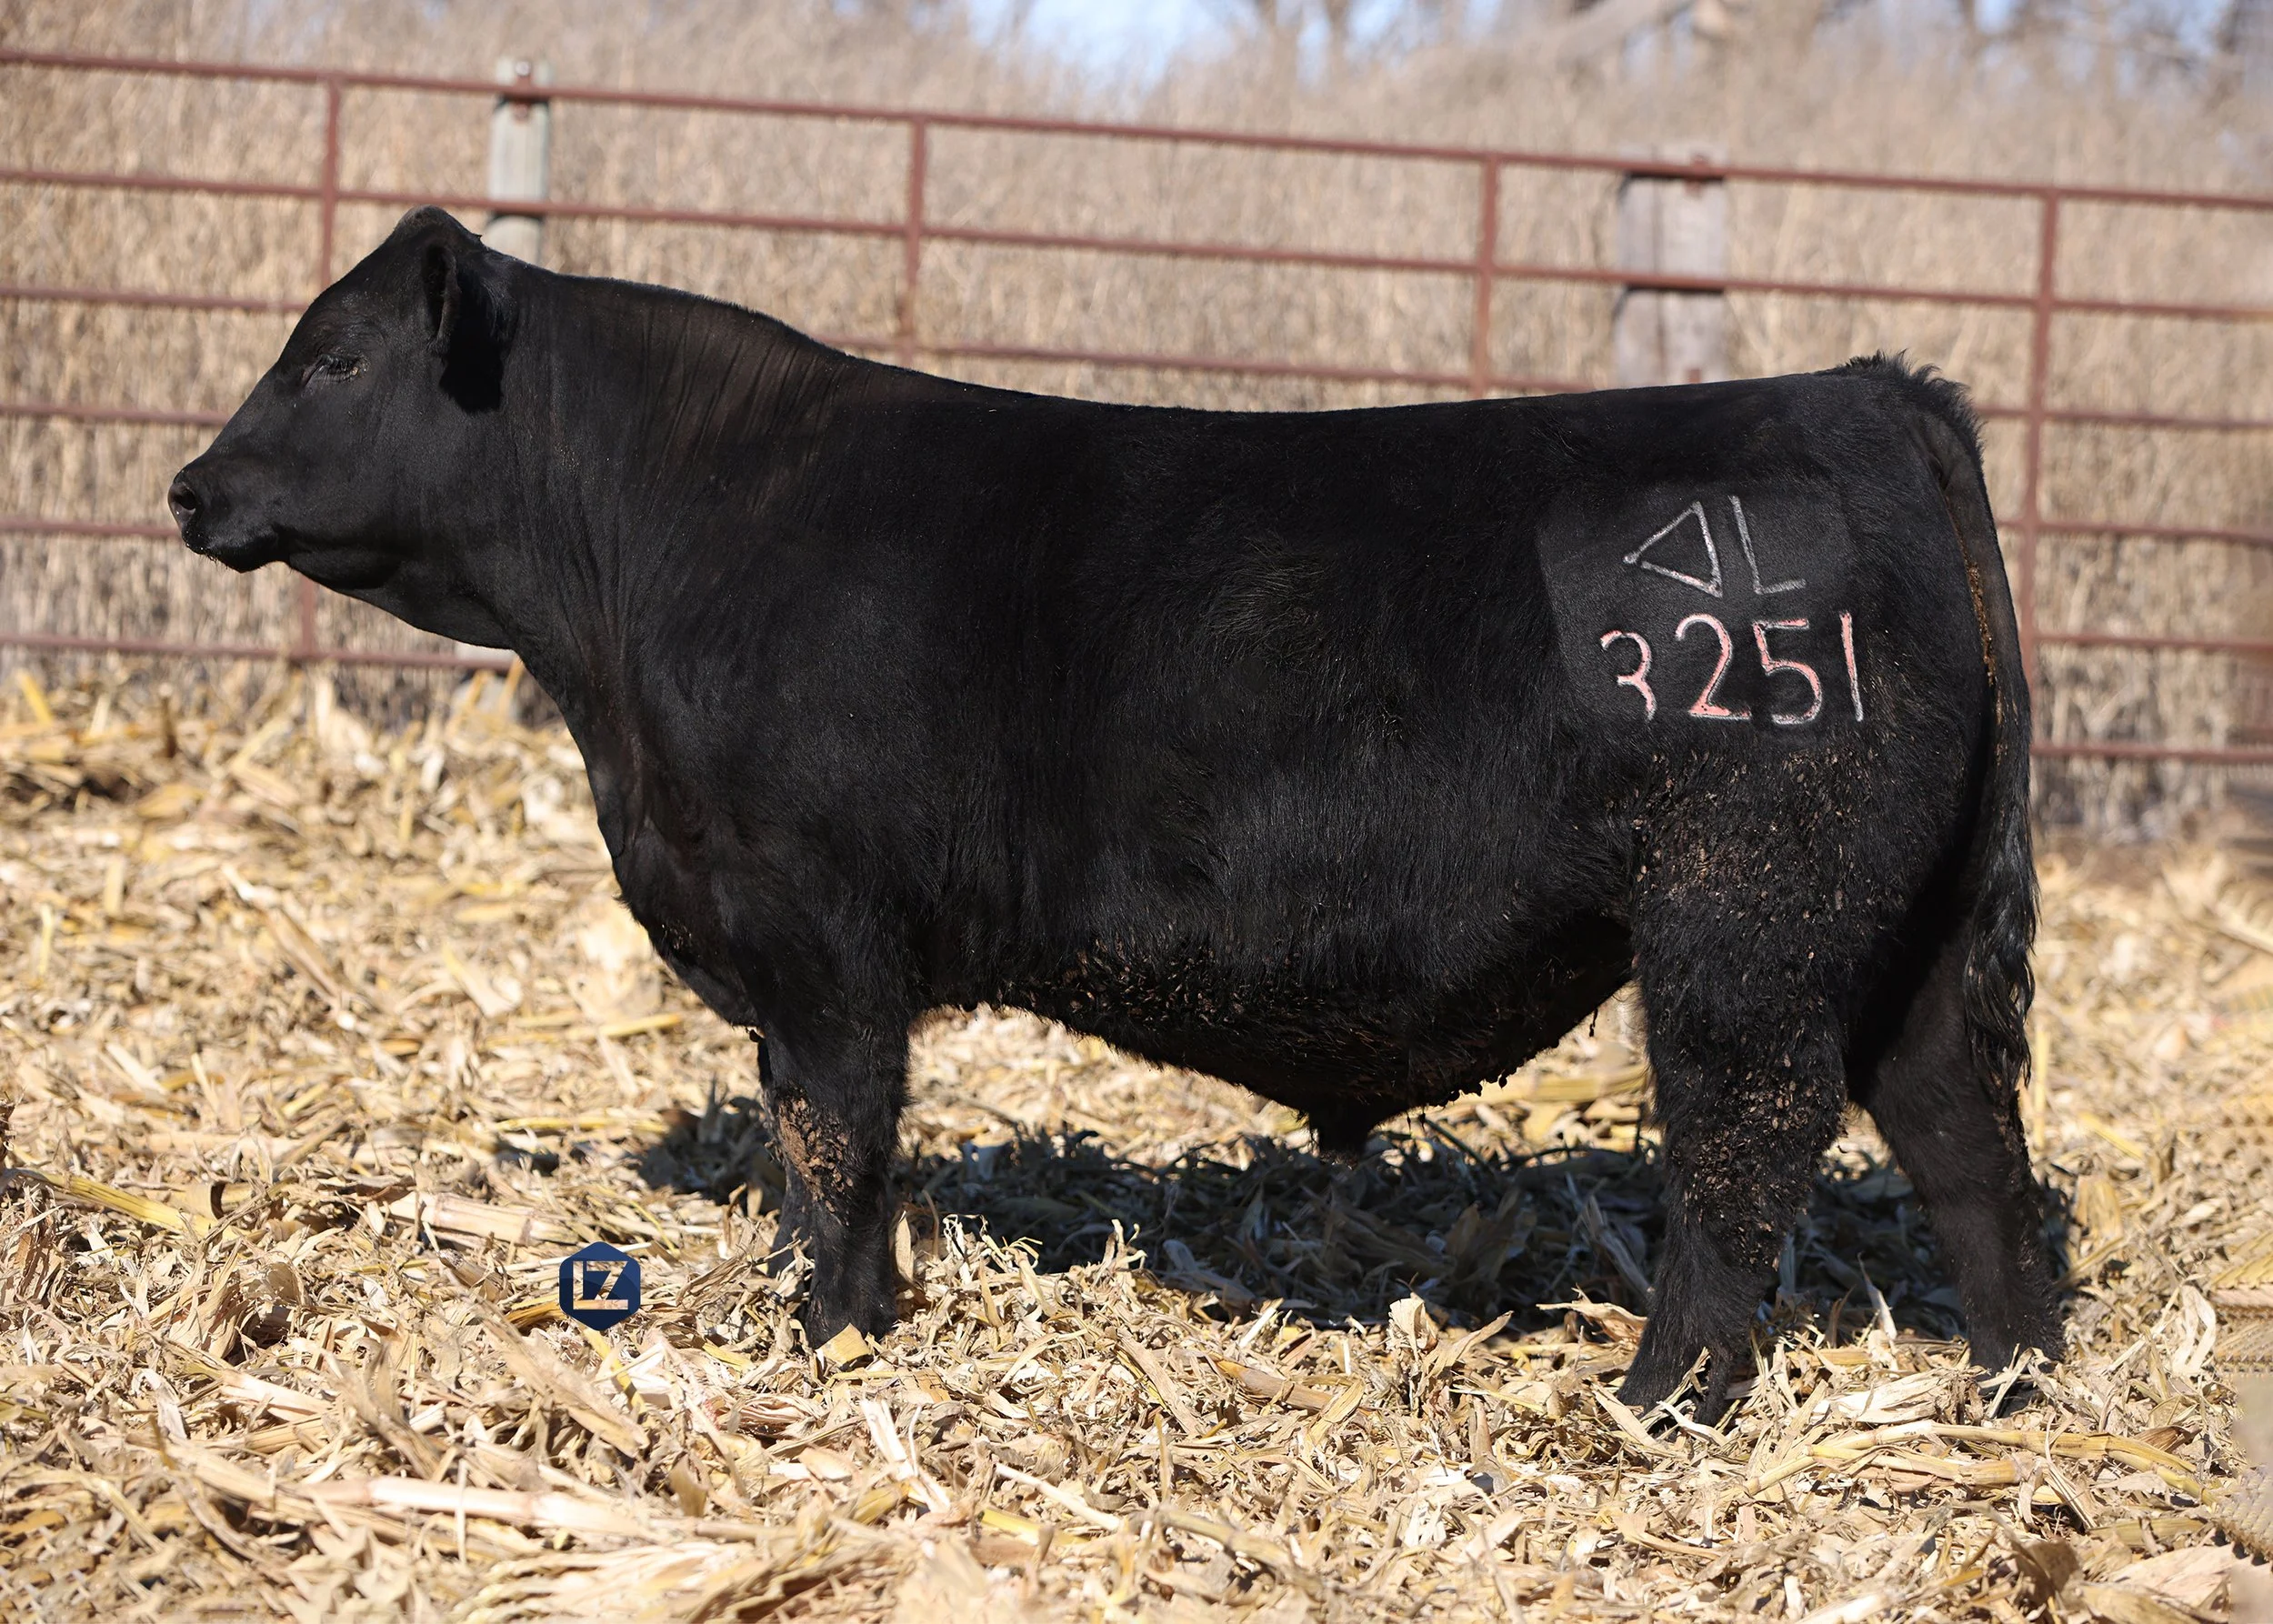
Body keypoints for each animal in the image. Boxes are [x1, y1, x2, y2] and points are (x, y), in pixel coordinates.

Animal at [169, 206, 2062, 1420]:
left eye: (335, 358)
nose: (191, 487)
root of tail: (1862, 388)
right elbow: (818, 1141)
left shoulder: (822, 934)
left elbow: (839, 1140)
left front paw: (832, 1337)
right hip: (1903, 939)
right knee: (1967, 1144)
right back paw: (2009, 1386)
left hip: (1749, 928)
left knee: (1748, 1151)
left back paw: (1659, 1399)